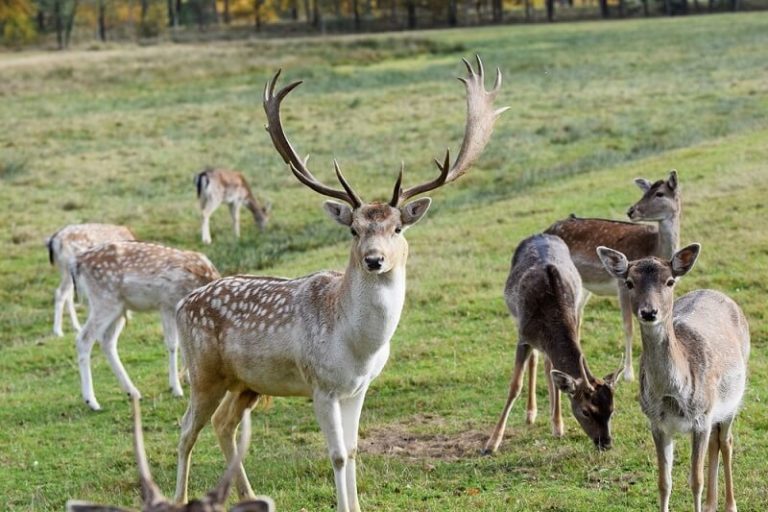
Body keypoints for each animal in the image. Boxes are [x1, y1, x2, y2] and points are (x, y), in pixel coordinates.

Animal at [73, 241, 220, 411]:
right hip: (104, 300)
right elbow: (172, 345)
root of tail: (78, 260)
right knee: (84, 339)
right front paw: (176, 388)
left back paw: (132, 392)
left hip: (118, 307)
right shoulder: (167, 303)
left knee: (107, 341)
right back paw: (92, 401)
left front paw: (190, 379)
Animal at [173, 56, 507, 512]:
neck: (359, 348)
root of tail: (181, 304)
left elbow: (352, 450)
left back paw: (249, 495)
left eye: (398, 228)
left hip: (247, 382)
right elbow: (334, 454)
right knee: (186, 429)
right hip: (204, 371)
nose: (374, 259)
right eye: (354, 229)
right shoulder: (322, 385)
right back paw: (179, 497)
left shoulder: (358, 388)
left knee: (224, 424)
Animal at [482, 234, 623, 455]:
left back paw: (554, 421)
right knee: (535, 360)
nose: (606, 443)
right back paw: (530, 413)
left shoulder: (573, 320)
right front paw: (491, 444)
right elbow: (515, 386)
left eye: (612, 410)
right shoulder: (523, 337)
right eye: (586, 411)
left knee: (548, 365)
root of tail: (541, 234)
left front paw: (558, 425)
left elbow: (553, 373)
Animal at [545, 170, 681, 381]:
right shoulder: (622, 285)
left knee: (576, 318)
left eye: (659, 193)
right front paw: (628, 374)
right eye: (645, 192)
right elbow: (628, 326)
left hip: (583, 287)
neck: (654, 248)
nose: (631, 211)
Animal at [597, 243, 749, 512]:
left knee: (726, 441)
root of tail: (714, 292)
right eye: (629, 282)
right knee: (715, 441)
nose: (649, 312)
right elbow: (663, 482)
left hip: (733, 399)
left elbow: (696, 480)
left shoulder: (701, 417)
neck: (671, 395)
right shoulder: (656, 422)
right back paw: (711, 504)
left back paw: (730, 505)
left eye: (669, 281)